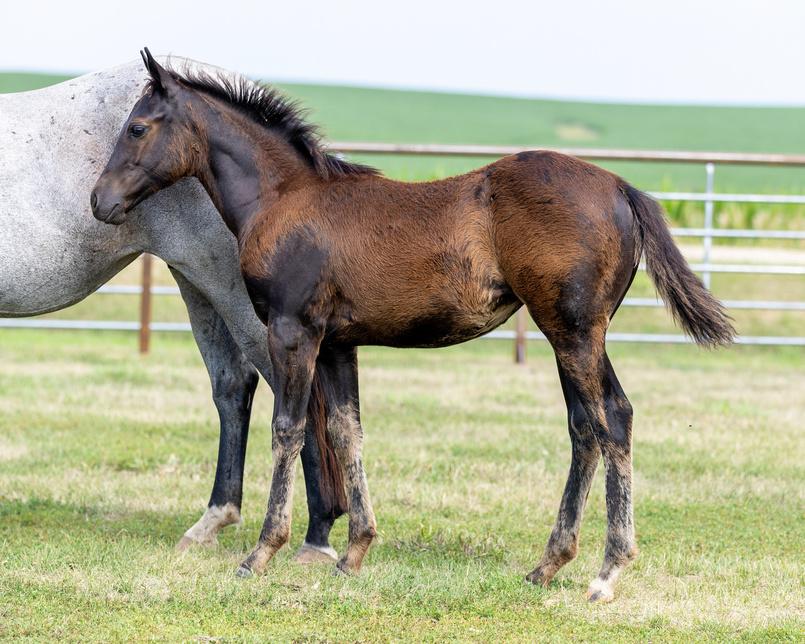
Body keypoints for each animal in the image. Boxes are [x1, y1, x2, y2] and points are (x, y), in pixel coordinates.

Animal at [0, 58, 346, 564]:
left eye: (138, 128)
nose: (99, 200)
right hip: (197, 281)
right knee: (233, 385)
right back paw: (214, 520)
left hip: (237, 297)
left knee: (297, 399)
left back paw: (316, 535)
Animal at [92, 49, 734, 603]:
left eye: (137, 128)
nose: (100, 201)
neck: (282, 198)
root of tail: (622, 188)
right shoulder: (337, 344)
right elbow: (346, 431)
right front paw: (354, 554)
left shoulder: (292, 331)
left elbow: (288, 429)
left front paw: (260, 554)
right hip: (575, 335)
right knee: (596, 425)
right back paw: (551, 566)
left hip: (572, 330)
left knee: (604, 422)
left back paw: (603, 572)